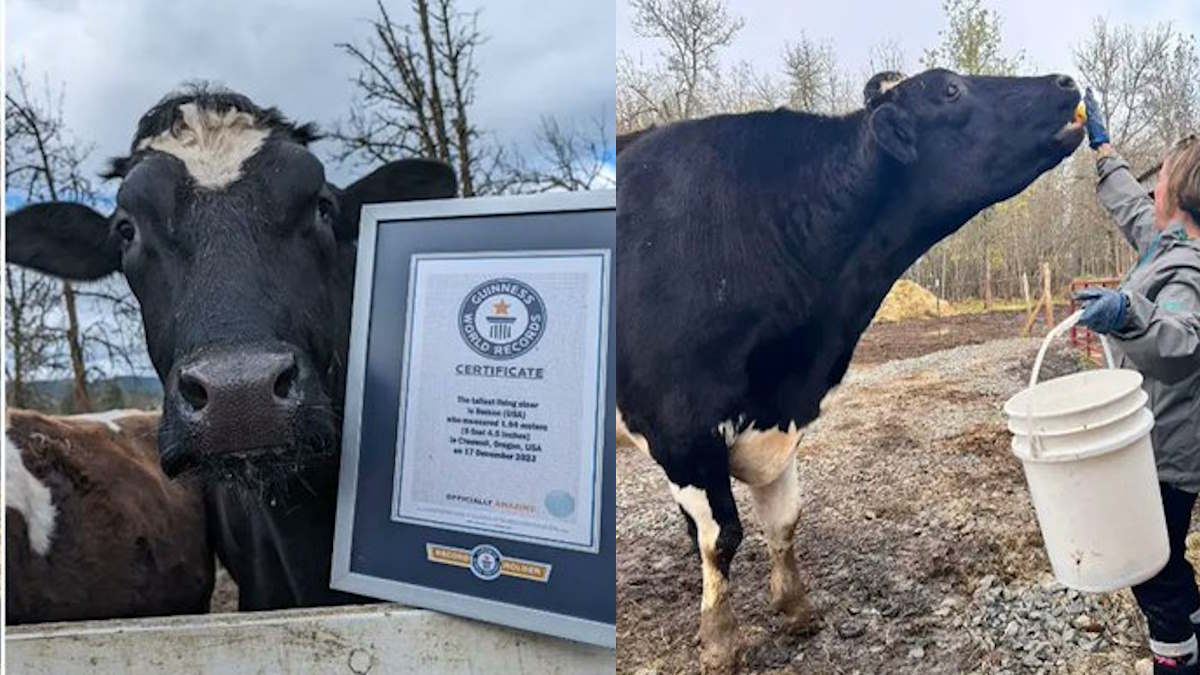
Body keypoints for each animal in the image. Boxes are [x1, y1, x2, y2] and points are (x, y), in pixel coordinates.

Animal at [615, 68, 1085, 673]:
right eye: (949, 89)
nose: (1065, 80)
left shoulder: (779, 416)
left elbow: (784, 519)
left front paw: (796, 608)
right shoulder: (680, 428)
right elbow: (720, 536)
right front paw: (720, 640)